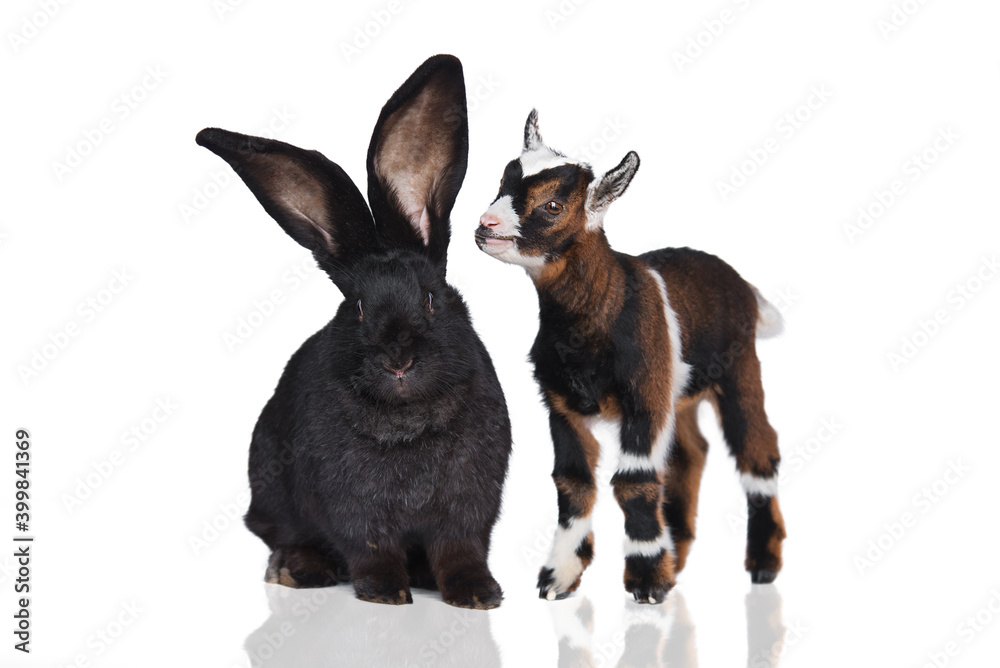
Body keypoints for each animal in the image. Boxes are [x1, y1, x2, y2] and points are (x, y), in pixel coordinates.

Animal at [196, 55, 512, 609]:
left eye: (431, 298)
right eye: (358, 308)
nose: (398, 360)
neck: (407, 419)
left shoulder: (471, 505)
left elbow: (461, 549)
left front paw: (477, 595)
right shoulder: (350, 505)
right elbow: (370, 547)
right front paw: (386, 593)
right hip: (270, 492)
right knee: (281, 535)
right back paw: (299, 569)